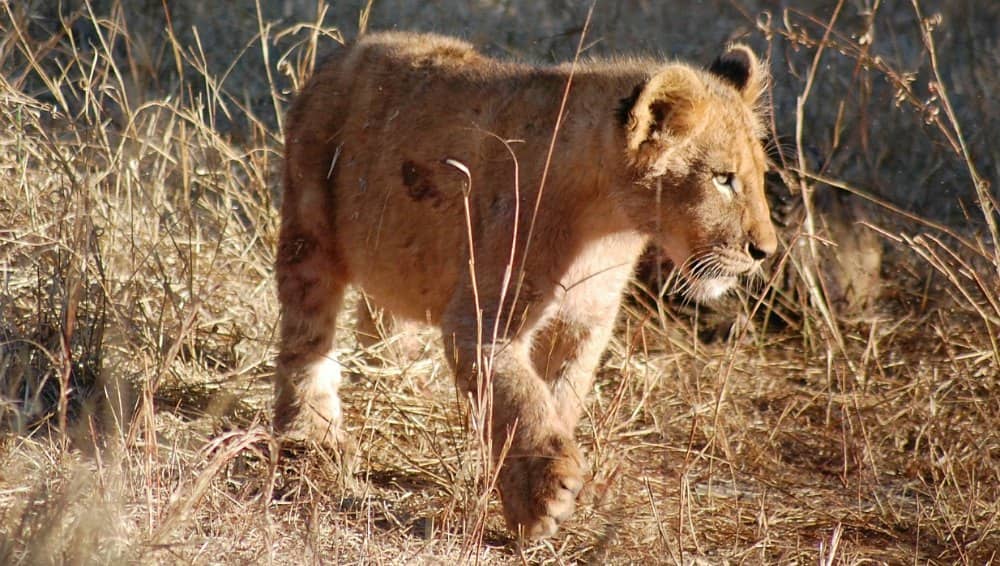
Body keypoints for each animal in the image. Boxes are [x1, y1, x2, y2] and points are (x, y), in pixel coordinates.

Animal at [275, 31, 777, 538]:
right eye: (722, 179)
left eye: (759, 177)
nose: (766, 250)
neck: (607, 226)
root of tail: (342, 53)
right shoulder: (484, 319)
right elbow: (519, 399)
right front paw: (544, 495)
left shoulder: (586, 323)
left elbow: (560, 397)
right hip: (309, 225)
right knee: (306, 337)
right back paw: (311, 436)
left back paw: (400, 378)